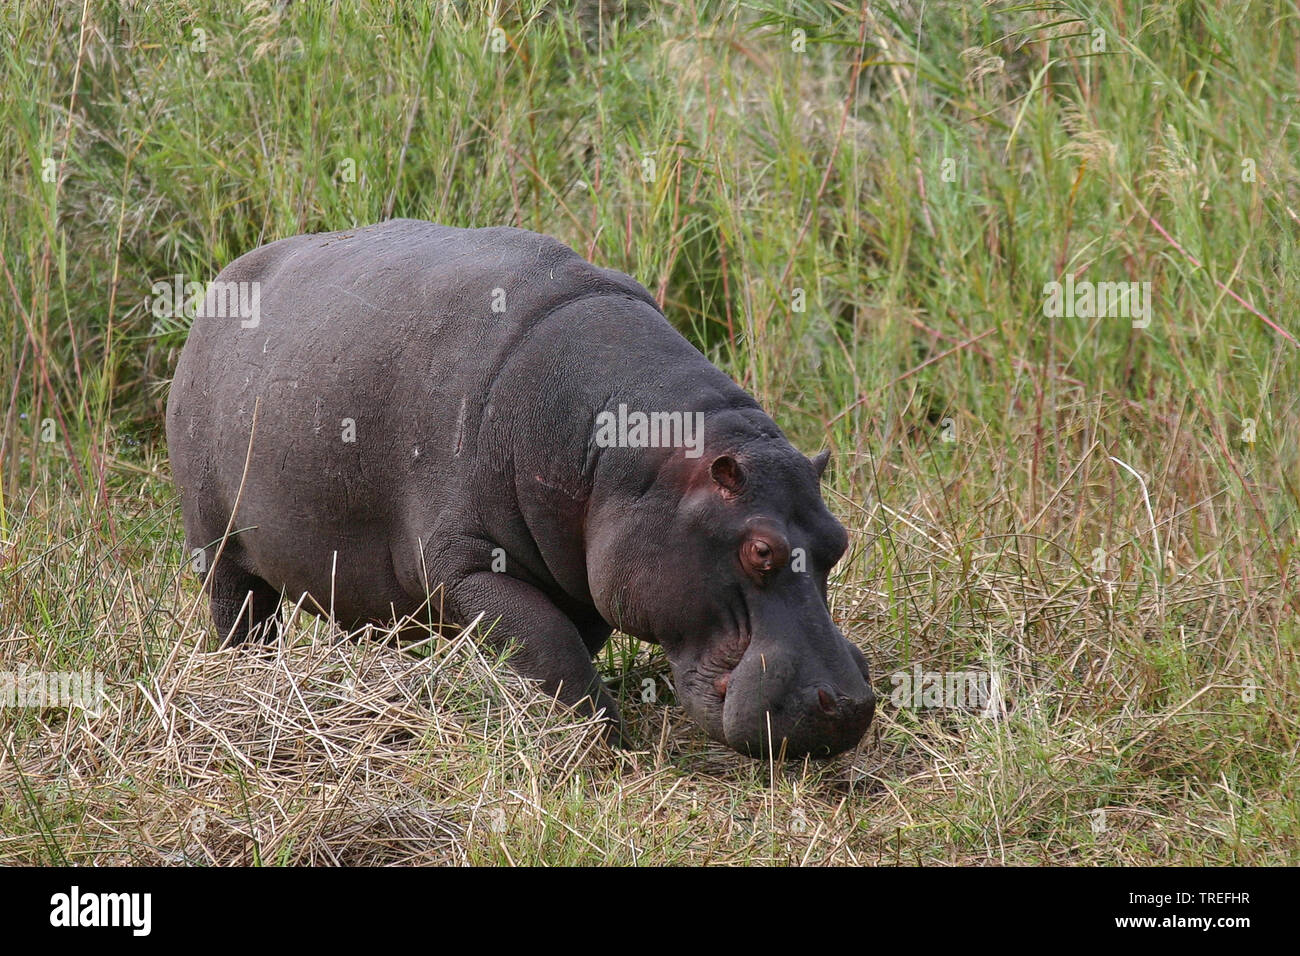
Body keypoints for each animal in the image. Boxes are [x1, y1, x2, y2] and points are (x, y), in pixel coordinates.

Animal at [165, 219, 875, 758]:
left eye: (838, 542)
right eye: (760, 550)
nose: (849, 704)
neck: (638, 459)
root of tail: (223, 283)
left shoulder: (584, 574)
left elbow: (566, 643)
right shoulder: (467, 565)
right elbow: (553, 645)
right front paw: (607, 746)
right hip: (216, 544)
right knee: (239, 613)